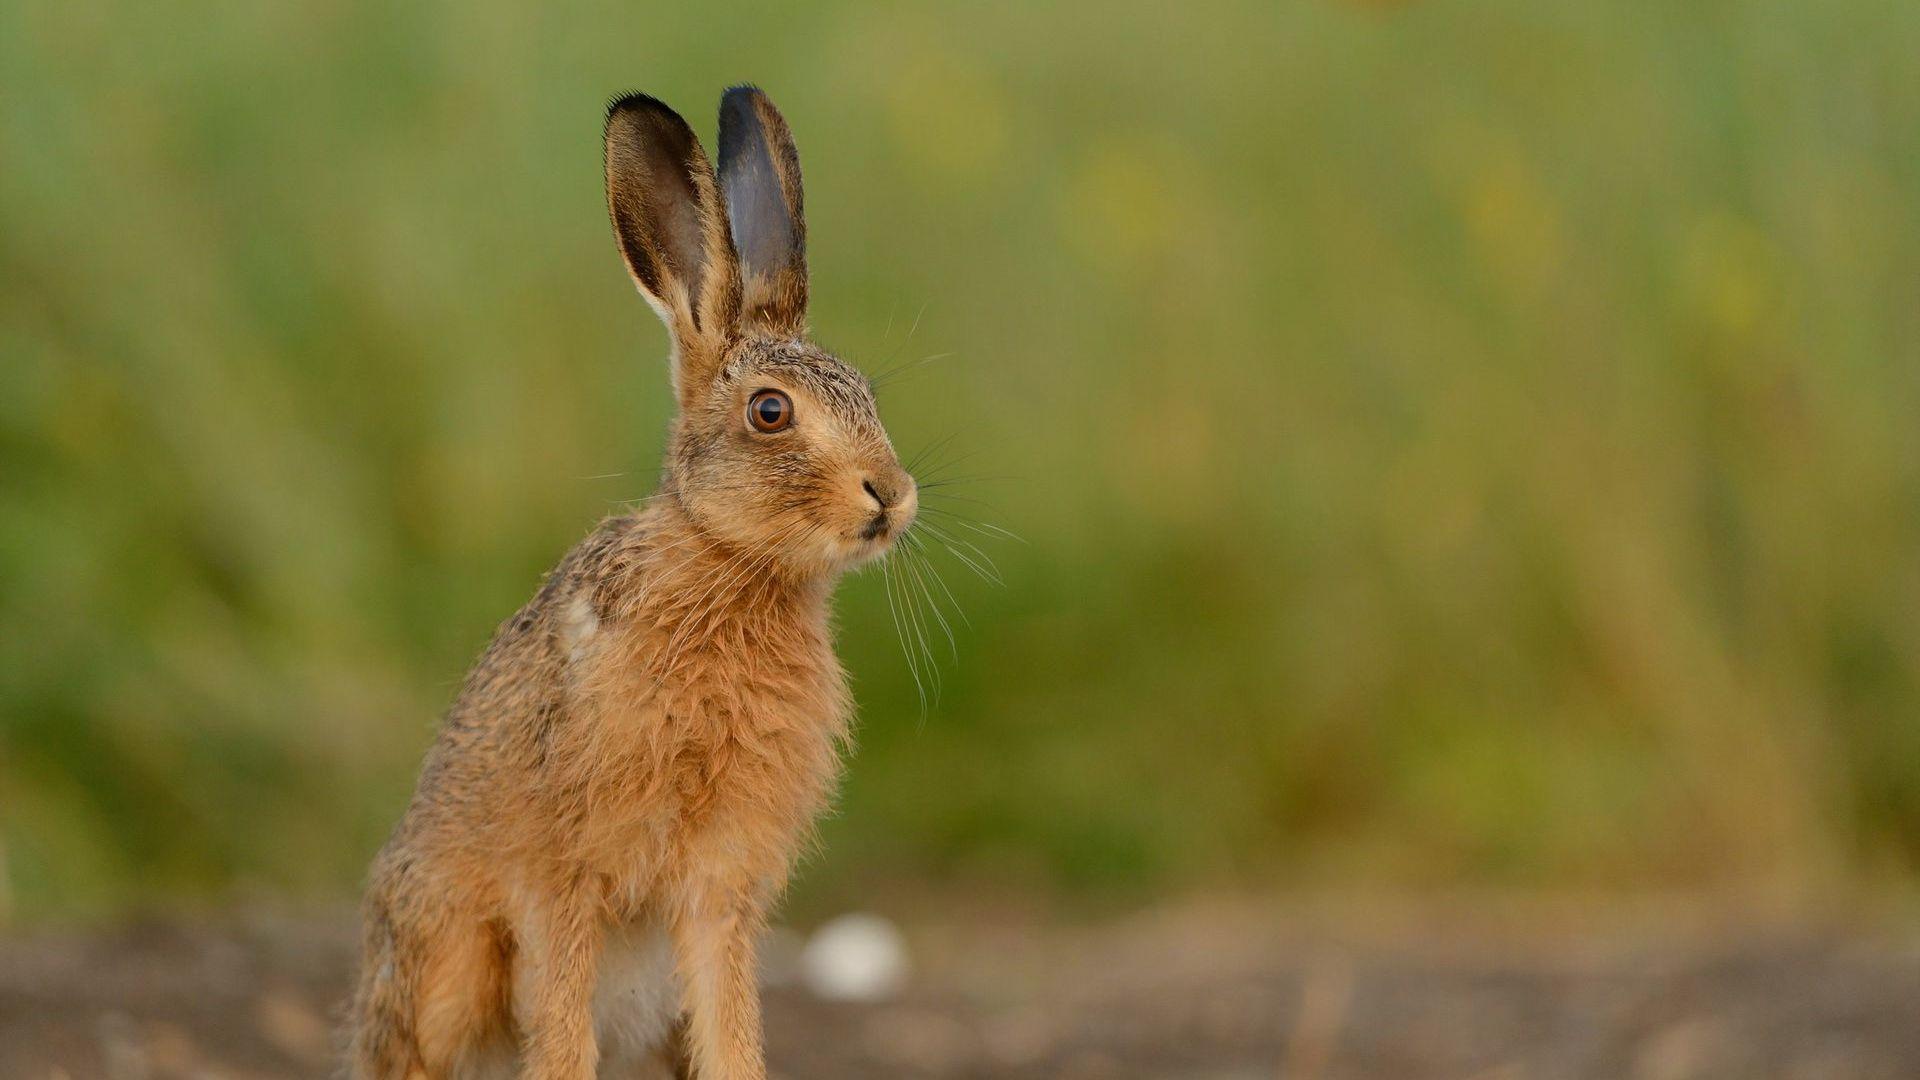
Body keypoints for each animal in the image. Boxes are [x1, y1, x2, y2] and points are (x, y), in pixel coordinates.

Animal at [347, 85, 918, 1080]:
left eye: (868, 398)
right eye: (772, 412)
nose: (891, 495)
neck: (730, 570)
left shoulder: (720, 889)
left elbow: (732, 1022)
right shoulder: (562, 878)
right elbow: (561, 1029)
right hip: (450, 970)